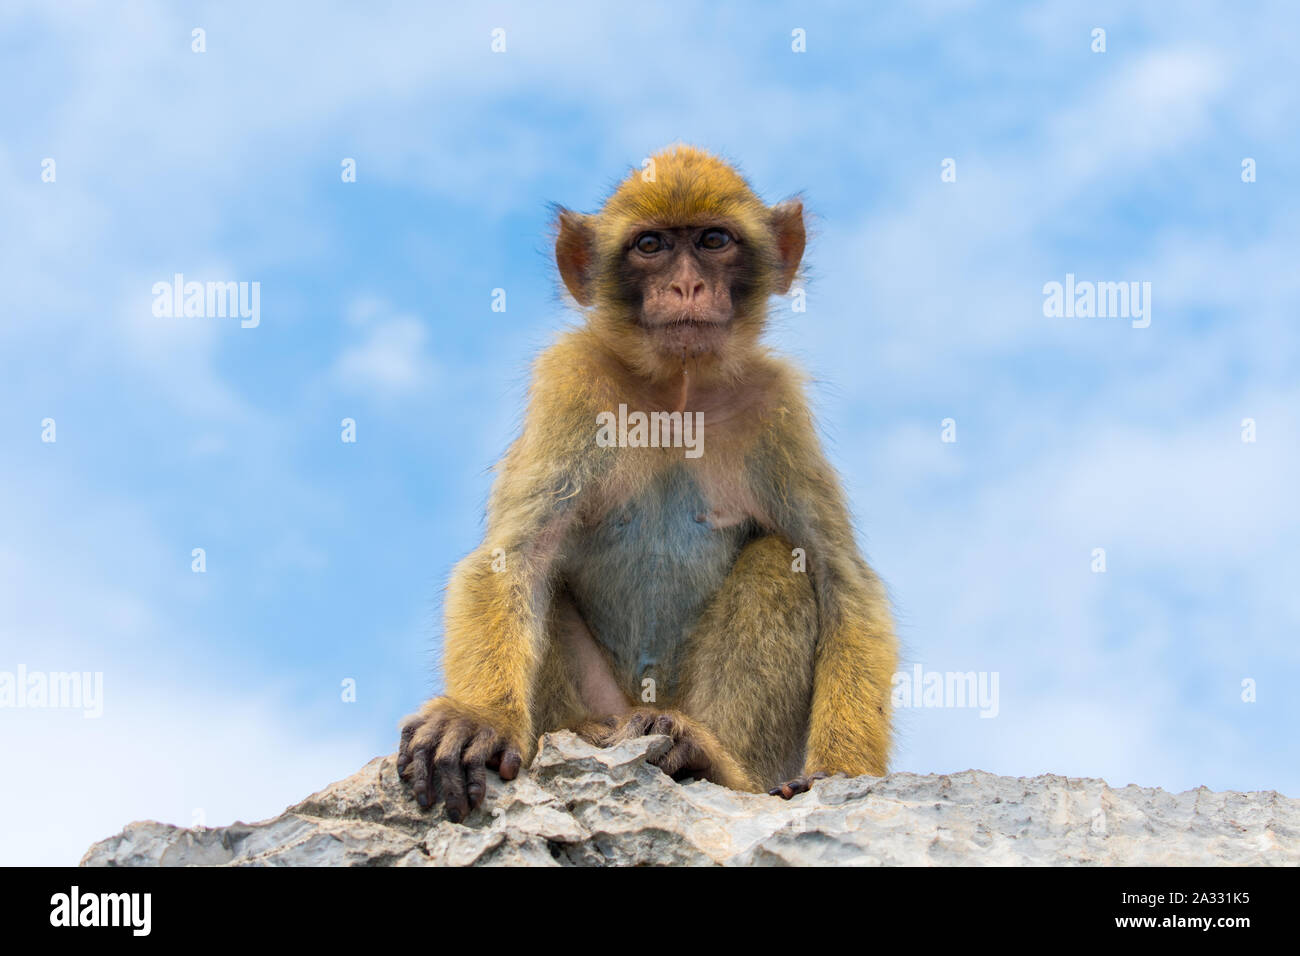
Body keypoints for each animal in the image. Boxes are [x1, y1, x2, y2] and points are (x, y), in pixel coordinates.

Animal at [397, 144, 897, 822]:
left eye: (713, 240)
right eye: (651, 245)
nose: (686, 286)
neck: (675, 399)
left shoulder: (777, 408)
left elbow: (842, 580)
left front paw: (841, 774)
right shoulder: (571, 383)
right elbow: (514, 558)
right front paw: (475, 717)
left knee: (780, 561)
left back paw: (706, 759)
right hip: (601, 710)